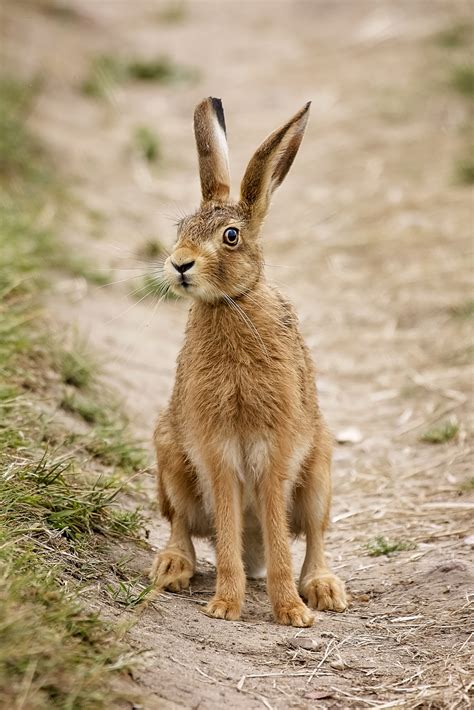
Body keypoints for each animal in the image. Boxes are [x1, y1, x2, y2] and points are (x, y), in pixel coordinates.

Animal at [150, 97, 348, 627]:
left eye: (231, 236)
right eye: (179, 230)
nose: (179, 263)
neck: (231, 303)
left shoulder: (276, 450)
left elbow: (282, 536)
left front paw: (293, 614)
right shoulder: (216, 449)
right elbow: (225, 534)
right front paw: (224, 607)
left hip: (318, 470)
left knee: (314, 535)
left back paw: (323, 590)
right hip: (170, 460)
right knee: (181, 524)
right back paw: (171, 569)